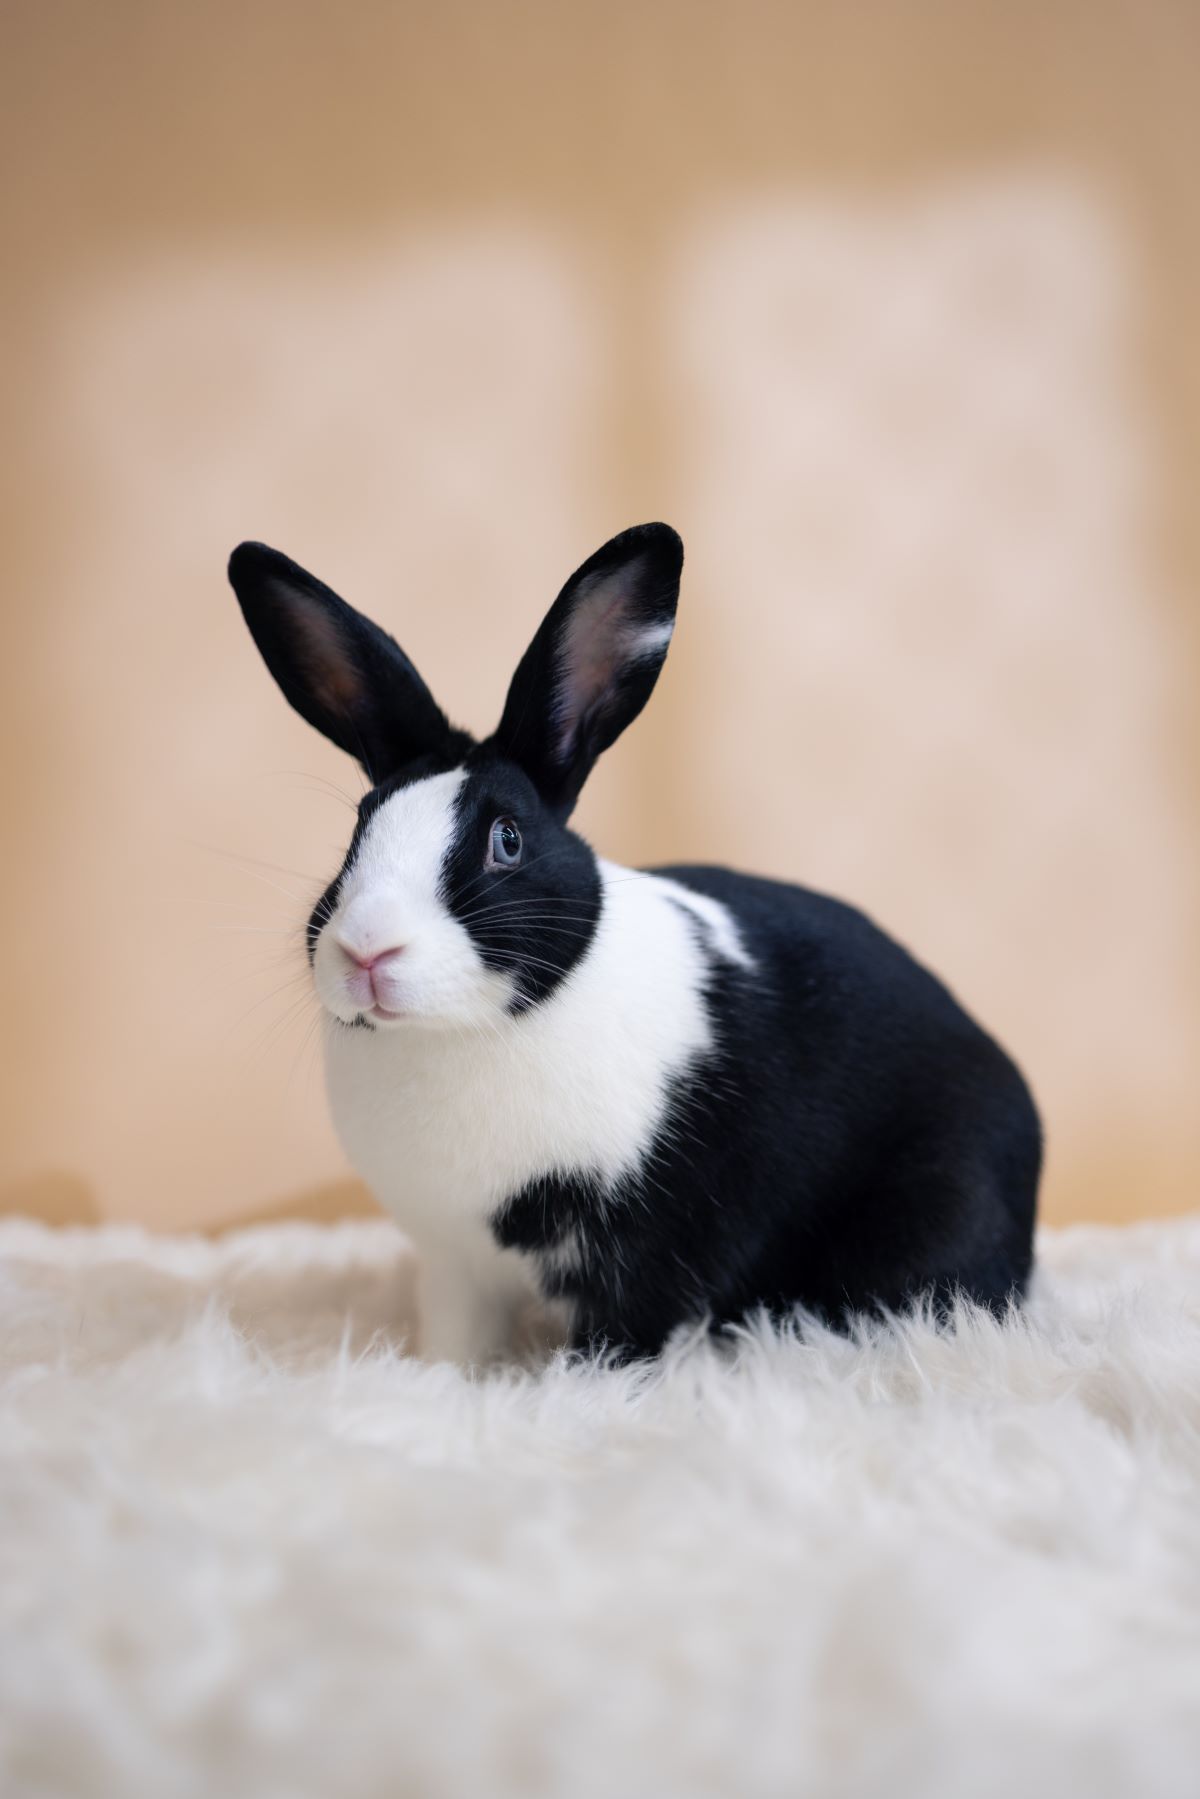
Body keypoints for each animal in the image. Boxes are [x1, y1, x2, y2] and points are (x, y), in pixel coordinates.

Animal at [228, 524, 1041, 1366]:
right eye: (359, 828)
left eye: (507, 839)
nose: (366, 951)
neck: (464, 1032)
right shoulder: (455, 1264)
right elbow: (458, 1339)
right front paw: (442, 1377)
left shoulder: (649, 1255)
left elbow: (620, 1343)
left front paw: (581, 1387)